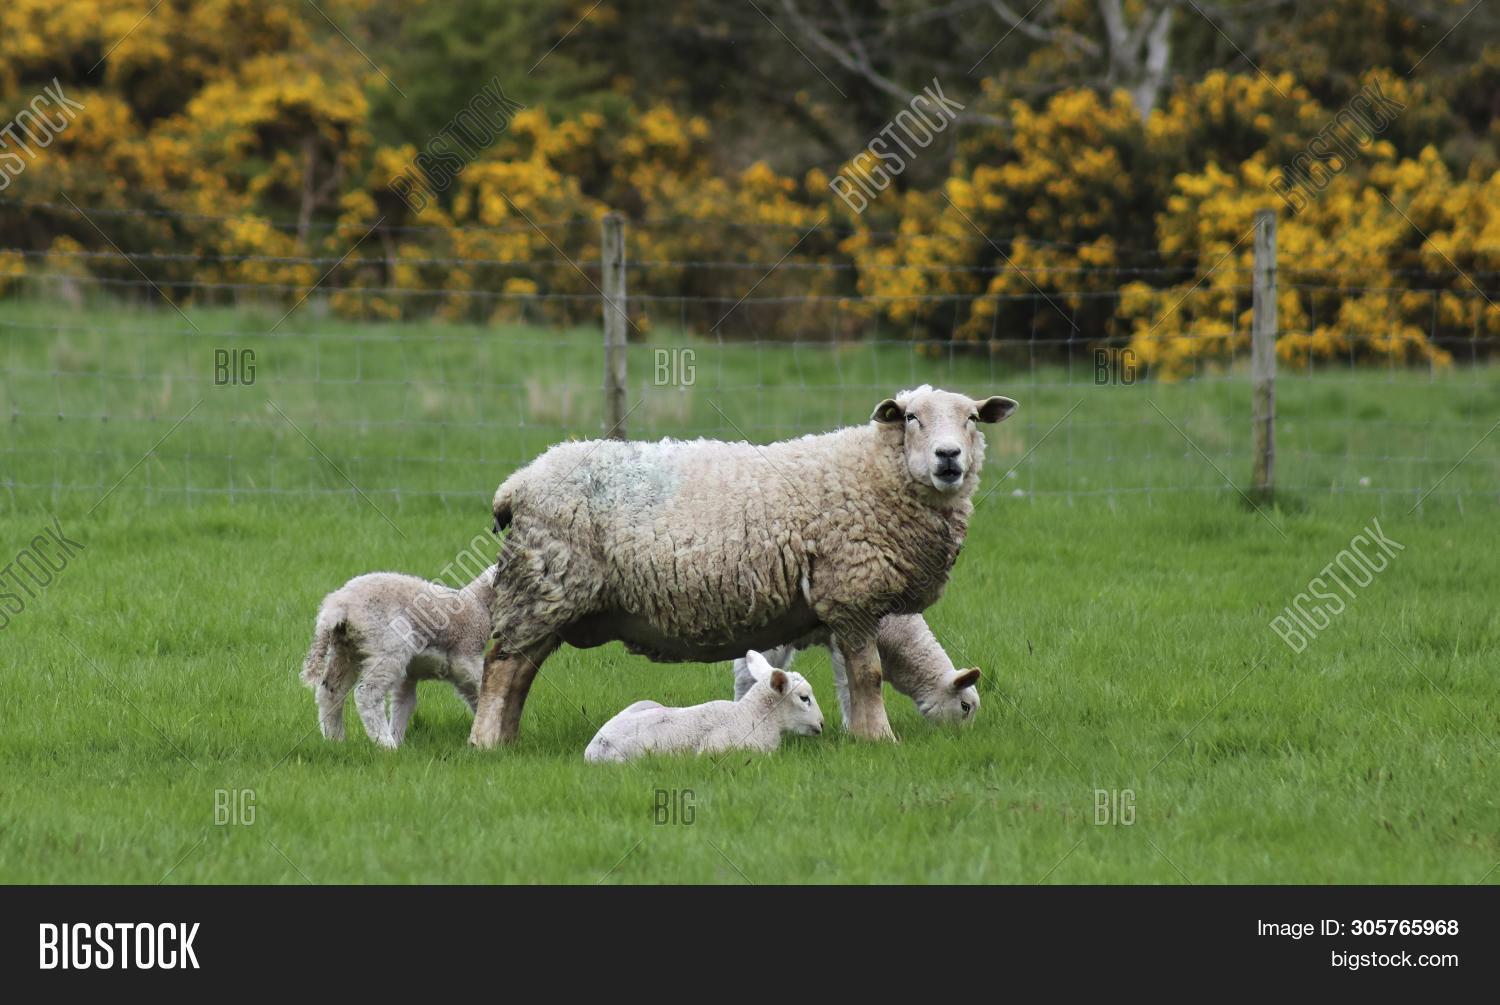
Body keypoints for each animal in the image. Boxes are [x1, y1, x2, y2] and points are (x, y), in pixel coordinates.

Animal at [299, 564, 497, 748]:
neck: (477, 602)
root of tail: (339, 605)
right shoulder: (467, 658)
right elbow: (483, 691)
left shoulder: (410, 674)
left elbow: (404, 702)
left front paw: (398, 737)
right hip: (387, 647)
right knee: (368, 694)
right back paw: (385, 744)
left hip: (345, 649)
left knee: (331, 692)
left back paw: (335, 739)